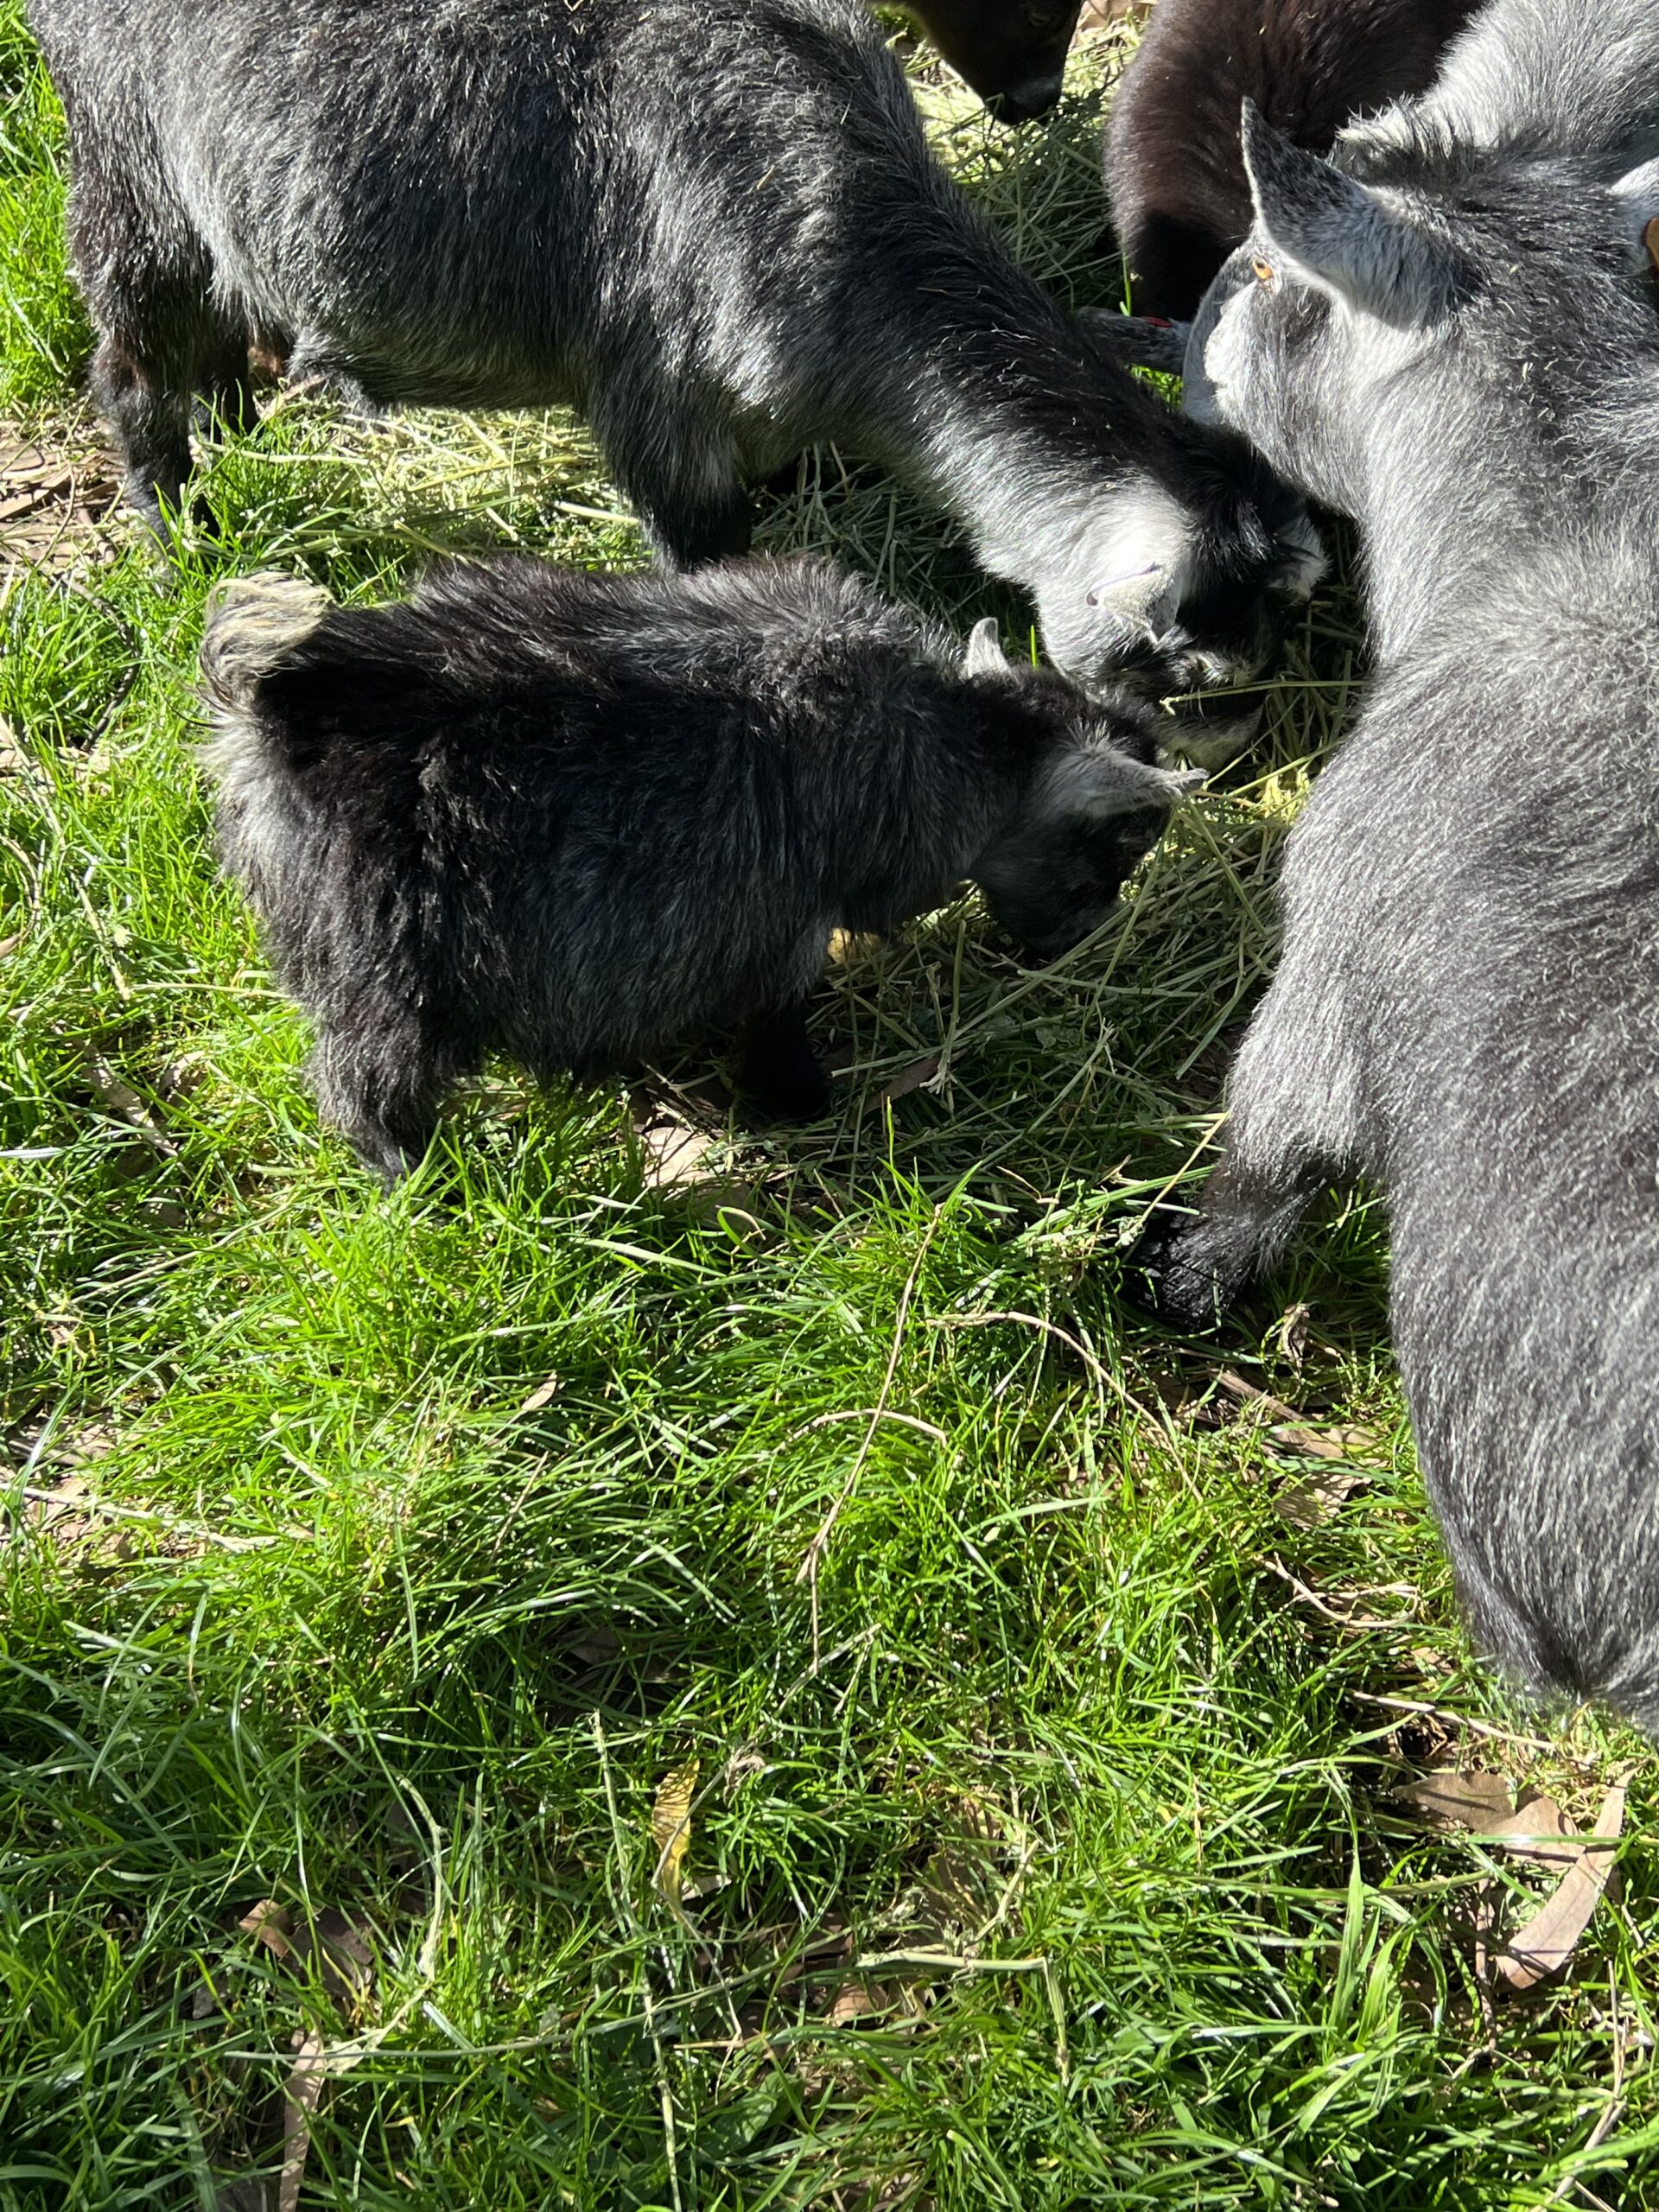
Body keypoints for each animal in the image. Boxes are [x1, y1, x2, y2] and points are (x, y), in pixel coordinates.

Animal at [201, 557, 1195, 1179]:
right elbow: (777, 1020)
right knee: (362, 1087)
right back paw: (422, 1177)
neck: (962, 742)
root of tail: (276, 710)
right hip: (385, 975)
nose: (1082, 938)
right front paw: (801, 1102)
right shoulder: (785, 922)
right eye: (1123, 839)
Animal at [1145, 105, 1659, 1730]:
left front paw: (1189, 1270)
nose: (1170, 347)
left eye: (1258, 265)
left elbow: (1267, 1147)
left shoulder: (1328, 937)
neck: (1566, 526)